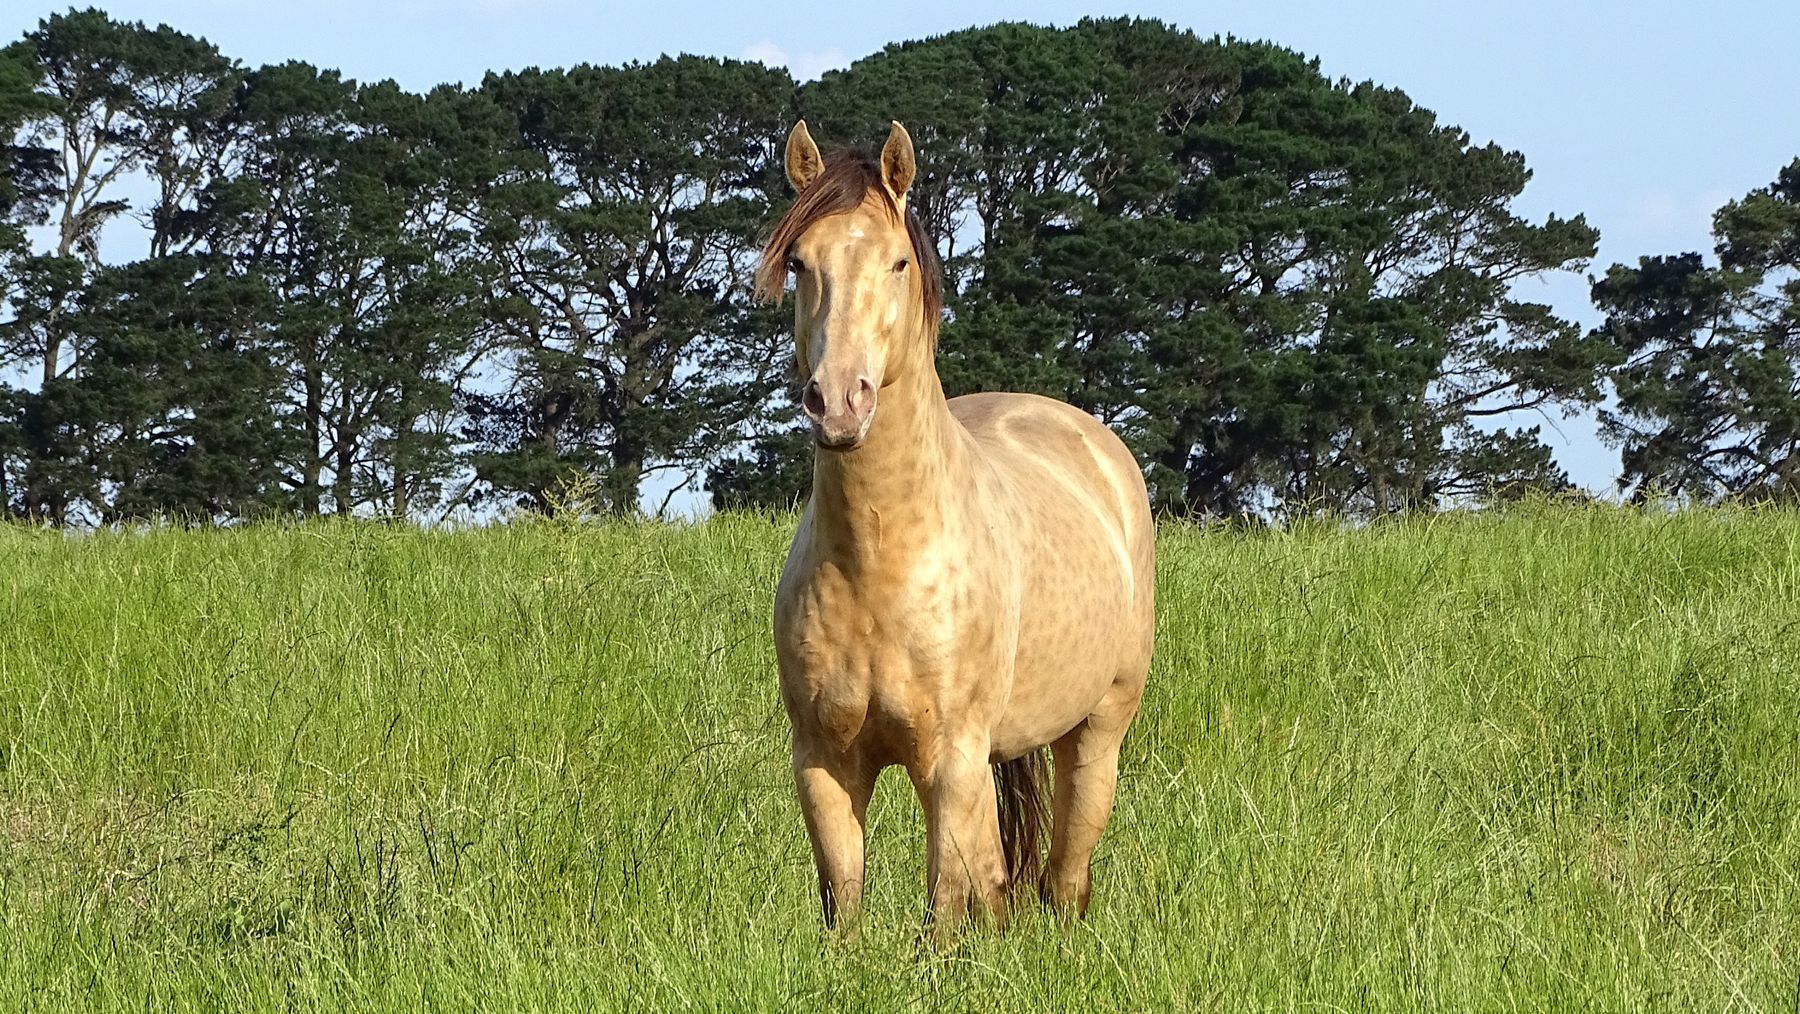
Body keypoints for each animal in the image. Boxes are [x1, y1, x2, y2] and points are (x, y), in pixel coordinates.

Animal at [759, 120, 1156, 931]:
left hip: (1096, 731)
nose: (839, 401)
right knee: (1001, 880)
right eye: (799, 261)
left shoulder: (948, 760)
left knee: (1064, 875)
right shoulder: (823, 761)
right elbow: (845, 906)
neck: (877, 559)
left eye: (898, 261)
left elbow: (944, 910)